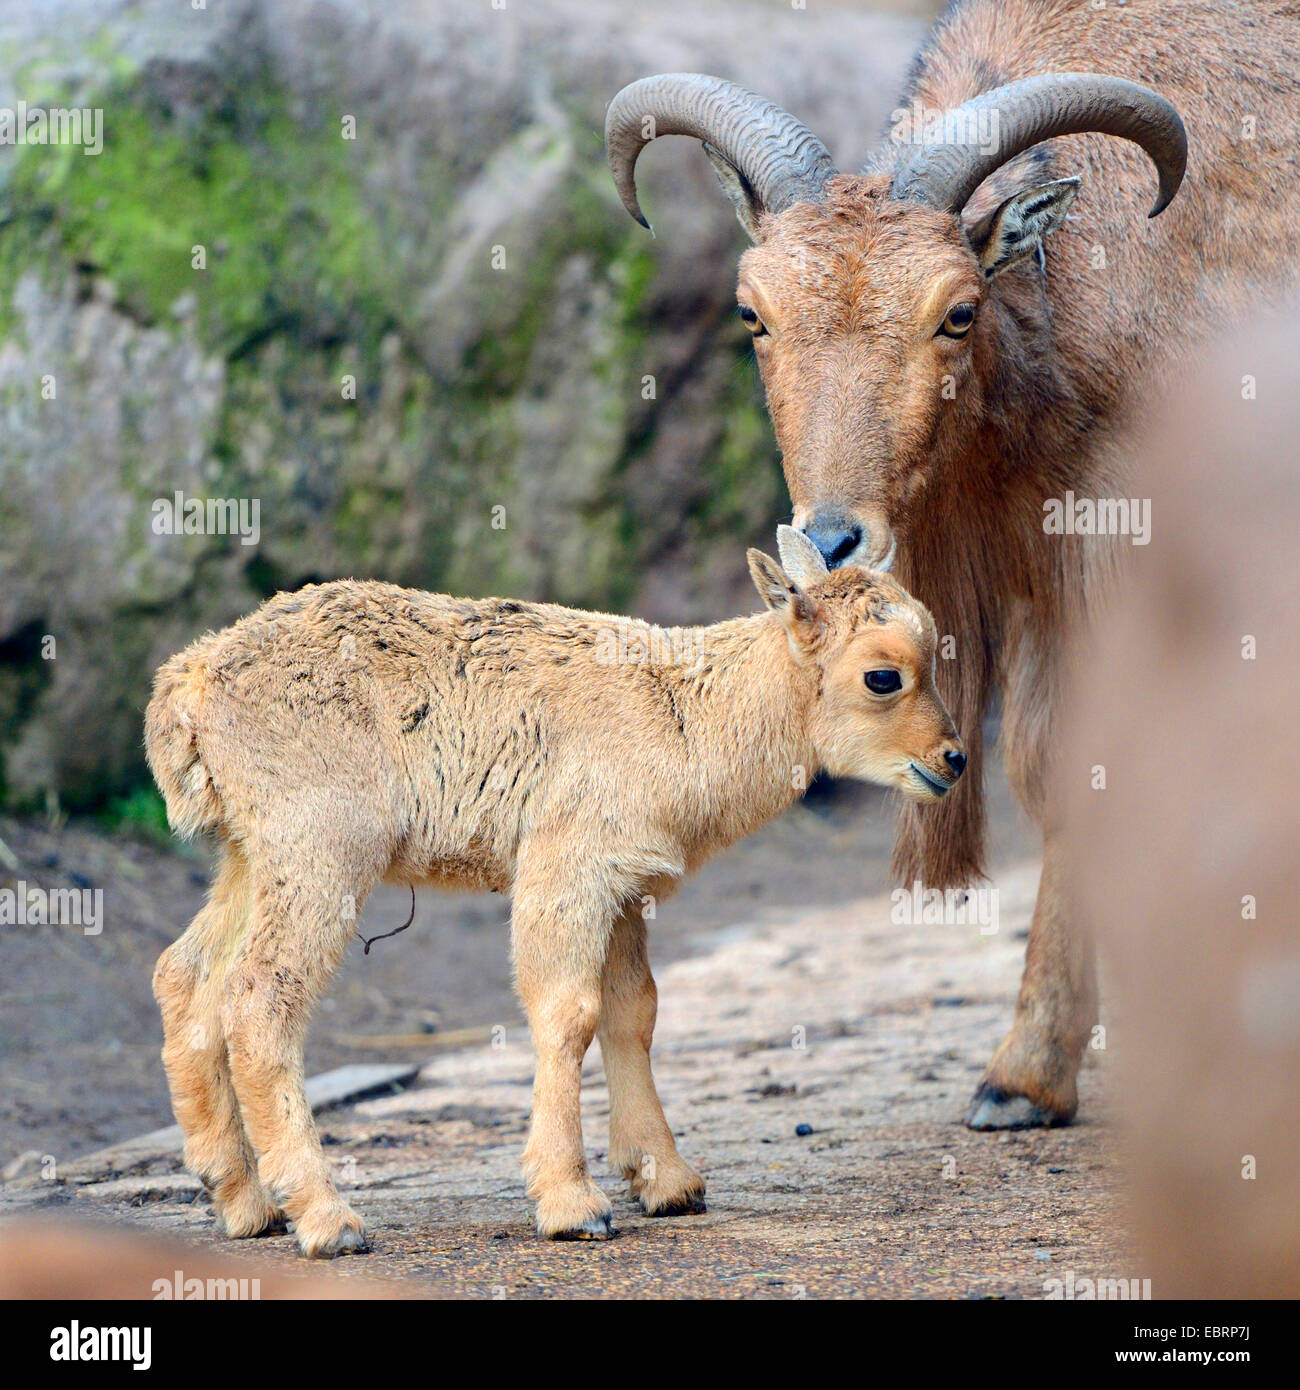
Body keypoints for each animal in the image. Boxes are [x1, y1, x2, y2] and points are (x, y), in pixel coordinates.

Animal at [144, 527, 964, 1255]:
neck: (688, 717)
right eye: (883, 676)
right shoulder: (567, 862)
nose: (951, 759)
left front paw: (668, 1181)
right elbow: (567, 1012)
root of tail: (188, 686)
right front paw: (572, 1204)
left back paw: (244, 1203)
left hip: (253, 851)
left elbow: (635, 1011)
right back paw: (326, 1218)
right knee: (259, 999)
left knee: (187, 975)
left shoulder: (626, 885)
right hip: (321, 844)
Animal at [604, 0, 1300, 1130]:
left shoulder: (1121, 550)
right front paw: (1031, 1072)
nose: (831, 539)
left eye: (956, 312)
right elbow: (1047, 765)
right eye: (754, 314)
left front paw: (1034, 1070)